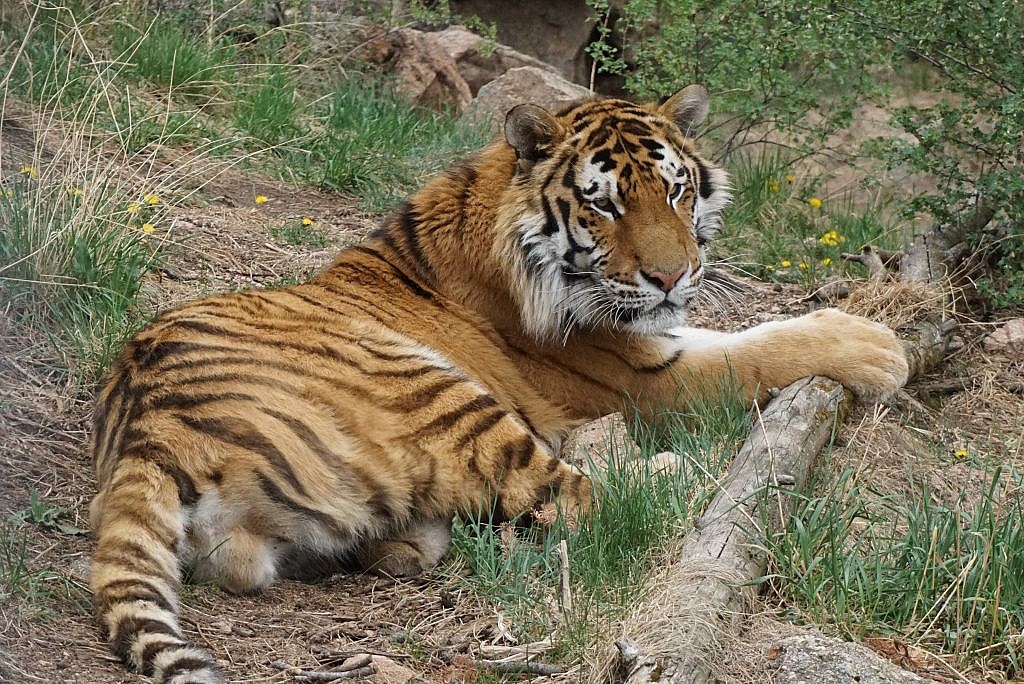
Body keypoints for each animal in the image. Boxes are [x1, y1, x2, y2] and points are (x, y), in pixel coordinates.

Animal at [88, 84, 909, 683]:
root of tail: (146, 434)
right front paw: (878, 347)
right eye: (605, 202)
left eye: (677, 192)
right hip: (434, 389)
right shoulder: (642, 371)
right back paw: (677, 474)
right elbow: (758, 349)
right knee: (584, 500)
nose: (673, 276)